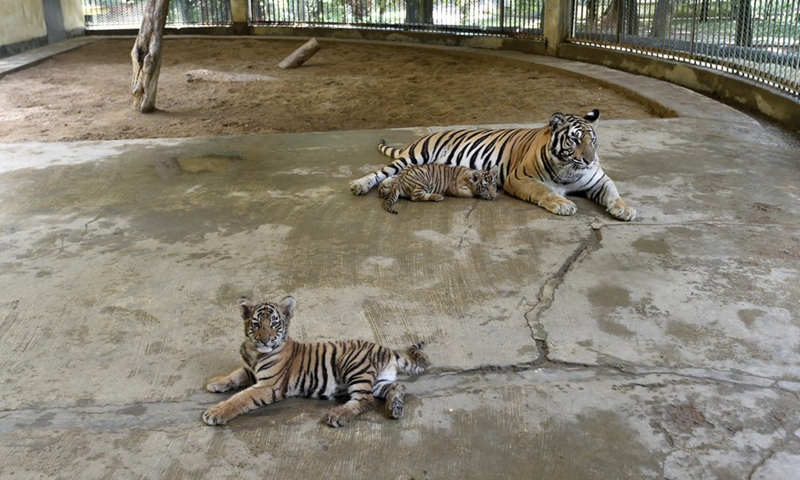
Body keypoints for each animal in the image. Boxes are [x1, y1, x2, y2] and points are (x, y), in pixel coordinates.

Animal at [202, 295, 429, 428]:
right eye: (257, 324)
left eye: (274, 323)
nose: (265, 339)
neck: (255, 351)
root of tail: (387, 349)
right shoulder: (250, 370)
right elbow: (234, 374)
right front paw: (216, 382)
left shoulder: (268, 384)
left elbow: (240, 398)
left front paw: (215, 412)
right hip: (378, 381)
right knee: (397, 386)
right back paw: (395, 407)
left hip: (353, 366)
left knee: (366, 400)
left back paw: (338, 415)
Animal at [349, 109, 636, 221]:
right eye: (575, 139)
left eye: (593, 141)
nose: (590, 159)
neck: (570, 170)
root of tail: (419, 138)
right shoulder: (519, 178)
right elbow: (545, 191)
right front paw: (562, 203)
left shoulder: (598, 179)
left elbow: (613, 191)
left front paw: (624, 209)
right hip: (414, 157)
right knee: (380, 173)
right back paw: (359, 185)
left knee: (397, 178)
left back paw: (386, 187)